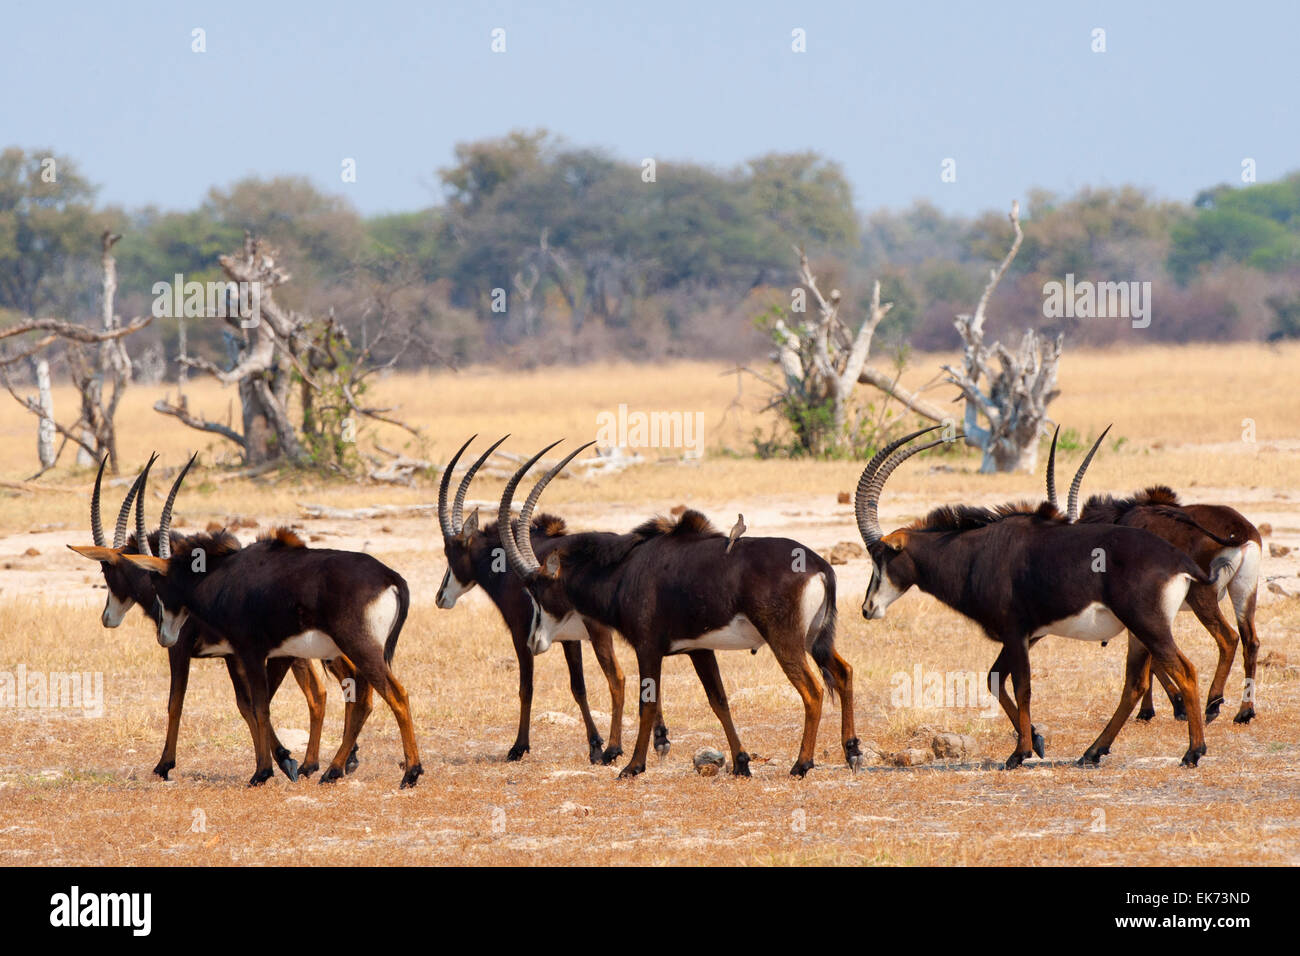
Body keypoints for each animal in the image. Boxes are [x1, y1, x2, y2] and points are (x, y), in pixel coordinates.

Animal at [74, 466, 421, 788]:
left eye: (107, 570)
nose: (165, 633)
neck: (219, 576)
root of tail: (391, 577)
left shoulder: (233, 652)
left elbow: (231, 705)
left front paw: (259, 770)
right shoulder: (239, 655)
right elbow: (250, 706)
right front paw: (281, 762)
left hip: (355, 647)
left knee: (391, 694)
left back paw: (408, 772)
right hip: (337, 651)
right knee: (355, 697)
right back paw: (333, 768)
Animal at [437, 435, 669, 764]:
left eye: (449, 552)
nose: (440, 597)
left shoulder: (522, 633)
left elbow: (527, 687)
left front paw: (518, 747)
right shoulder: (568, 638)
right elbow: (578, 687)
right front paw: (594, 745)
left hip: (601, 632)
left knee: (618, 678)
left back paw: (615, 748)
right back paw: (660, 740)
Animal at [499, 441, 861, 779]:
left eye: (537, 590)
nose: (533, 642)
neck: (623, 570)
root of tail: (819, 566)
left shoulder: (647, 648)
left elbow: (646, 704)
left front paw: (633, 766)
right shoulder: (699, 650)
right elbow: (719, 701)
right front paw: (741, 763)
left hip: (785, 641)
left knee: (813, 692)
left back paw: (801, 764)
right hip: (814, 639)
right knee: (843, 672)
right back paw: (852, 752)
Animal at [855, 425, 1233, 768]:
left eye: (879, 556)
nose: (867, 608)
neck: (975, 553)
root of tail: (1180, 560)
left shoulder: (1014, 632)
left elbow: (1021, 686)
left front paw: (1018, 753)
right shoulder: (1029, 634)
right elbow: (995, 679)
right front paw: (1035, 741)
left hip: (1148, 625)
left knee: (1185, 671)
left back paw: (1192, 752)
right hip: (1138, 634)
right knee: (1134, 685)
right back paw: (1093, 752)